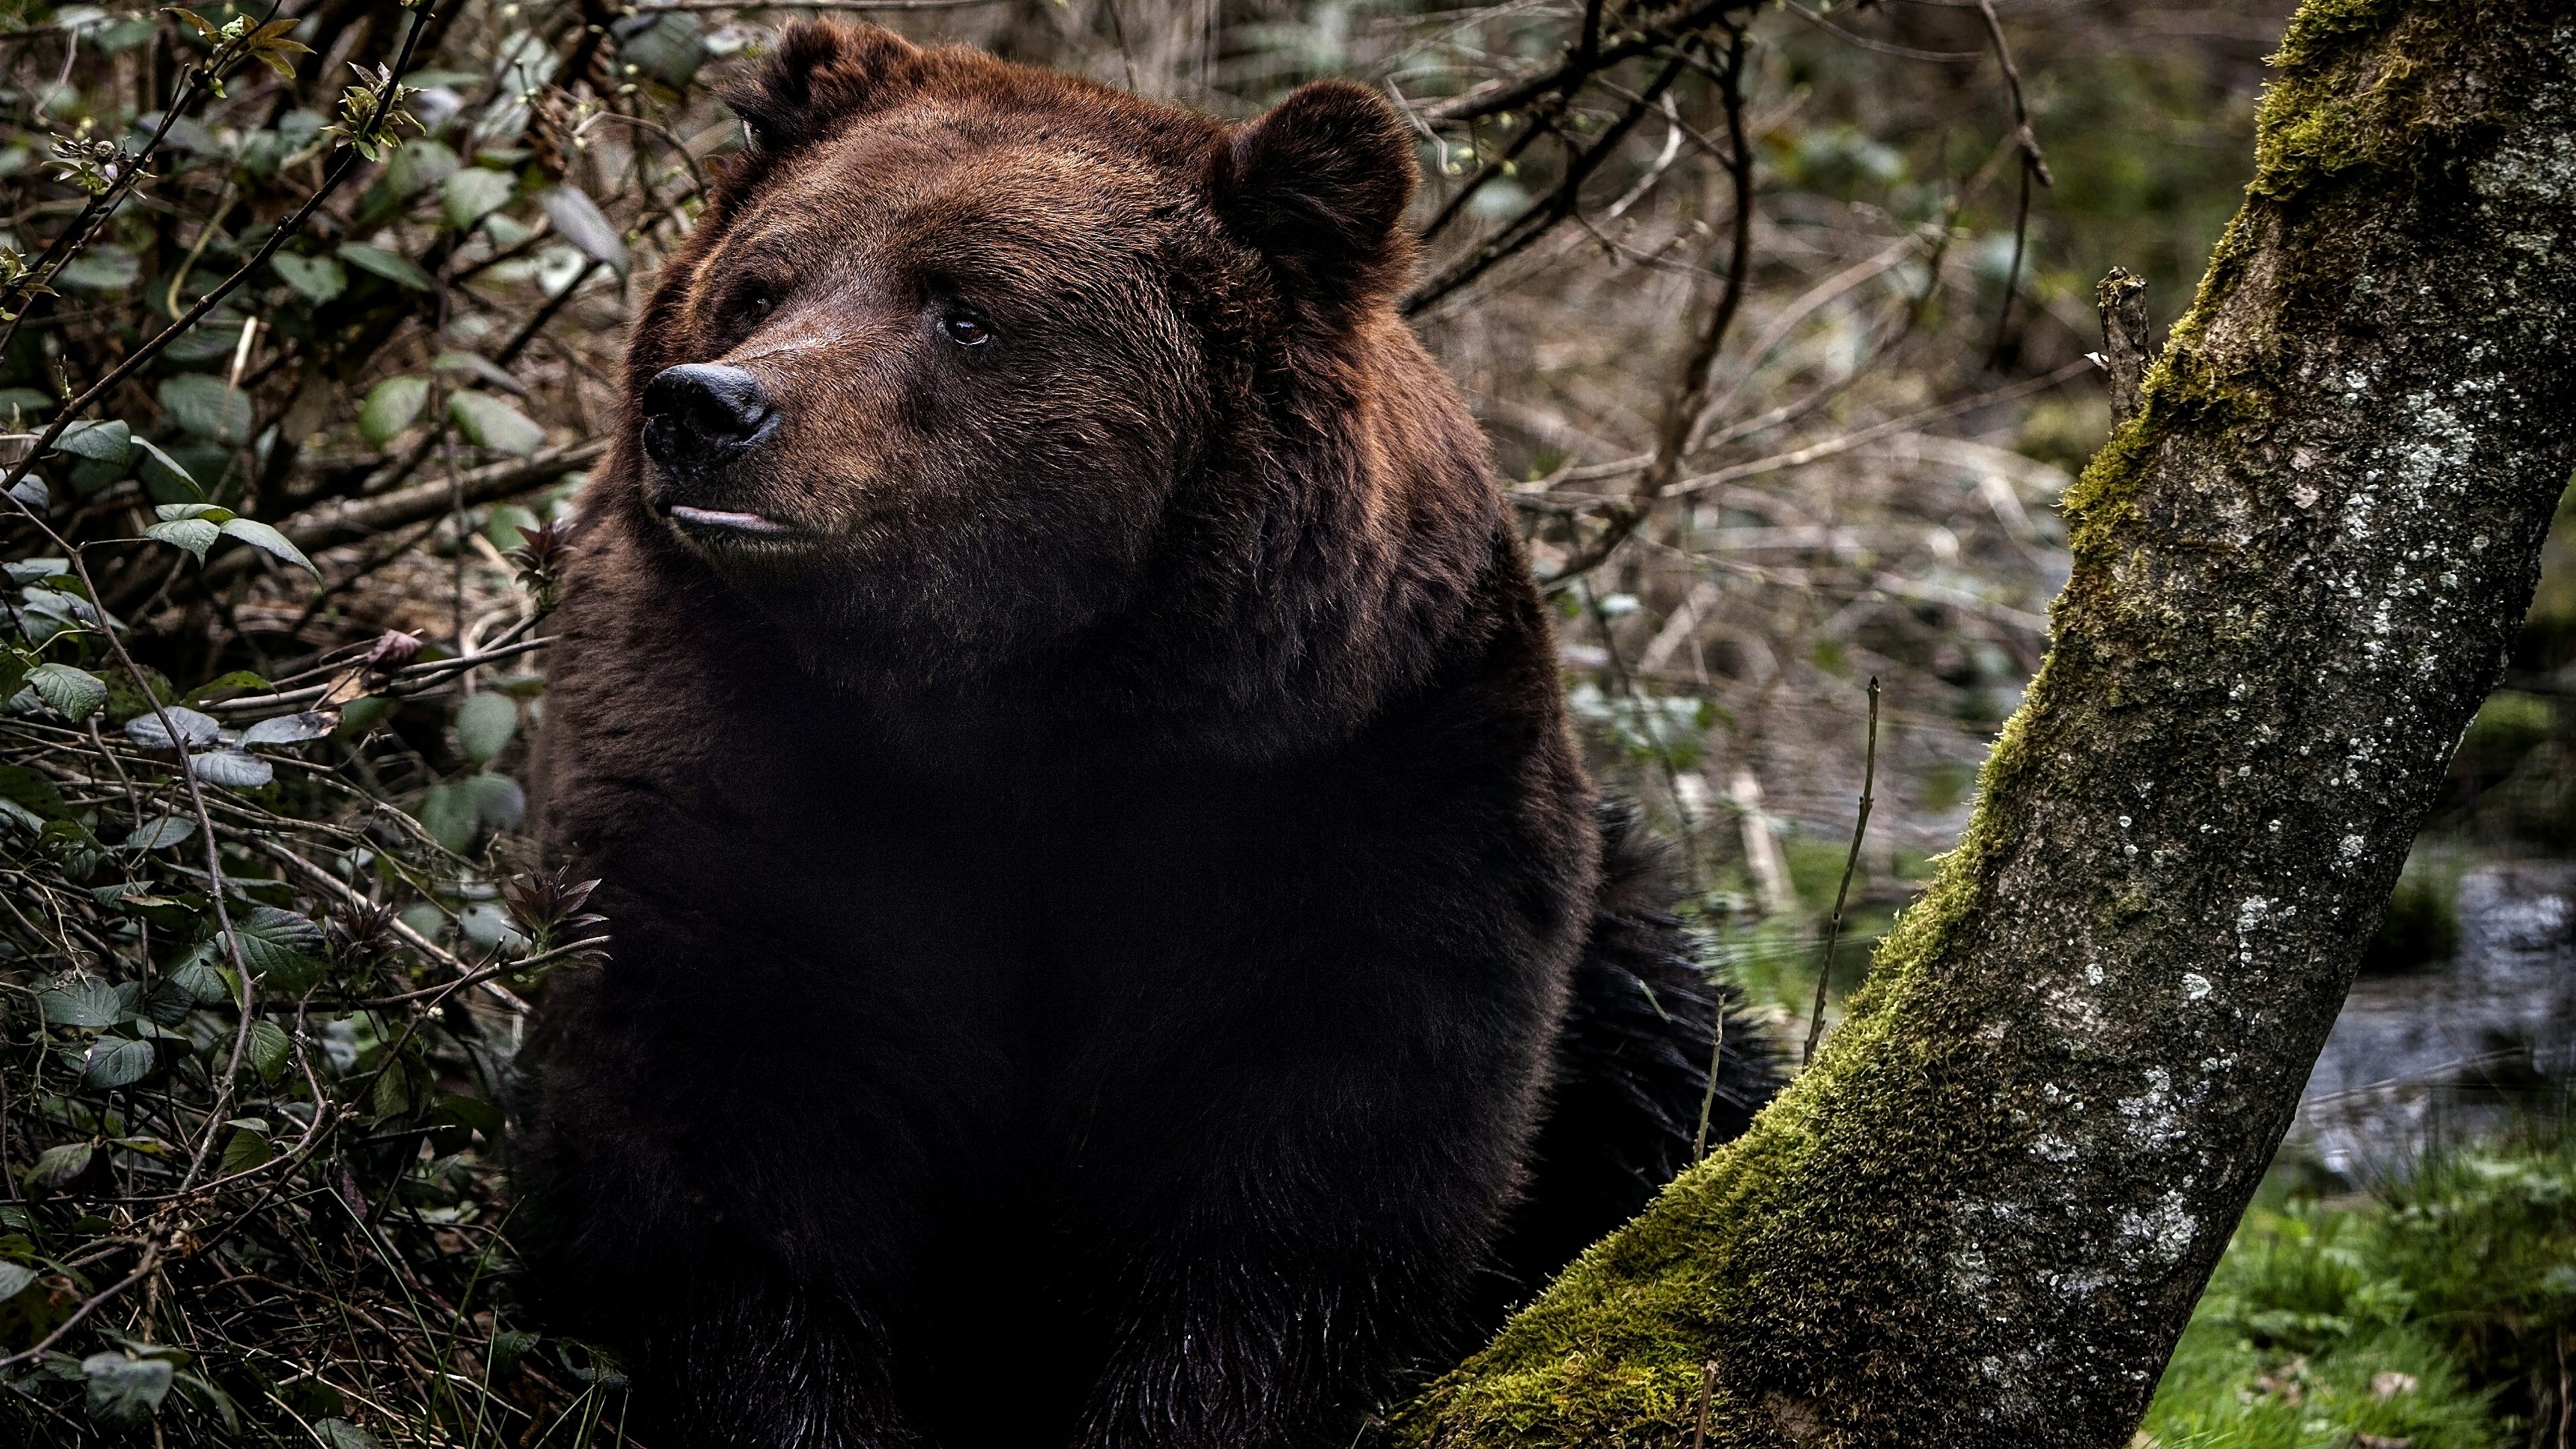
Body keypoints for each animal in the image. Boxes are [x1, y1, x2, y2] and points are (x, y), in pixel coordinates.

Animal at [517, 23, 1778, 1449]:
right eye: (758, 288)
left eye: (966, 309)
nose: (710, 408)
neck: (1025, 703)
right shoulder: (734, 763)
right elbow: (725, 1127)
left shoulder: (1353, 772)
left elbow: (1306, 1167)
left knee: (1677, 1071)